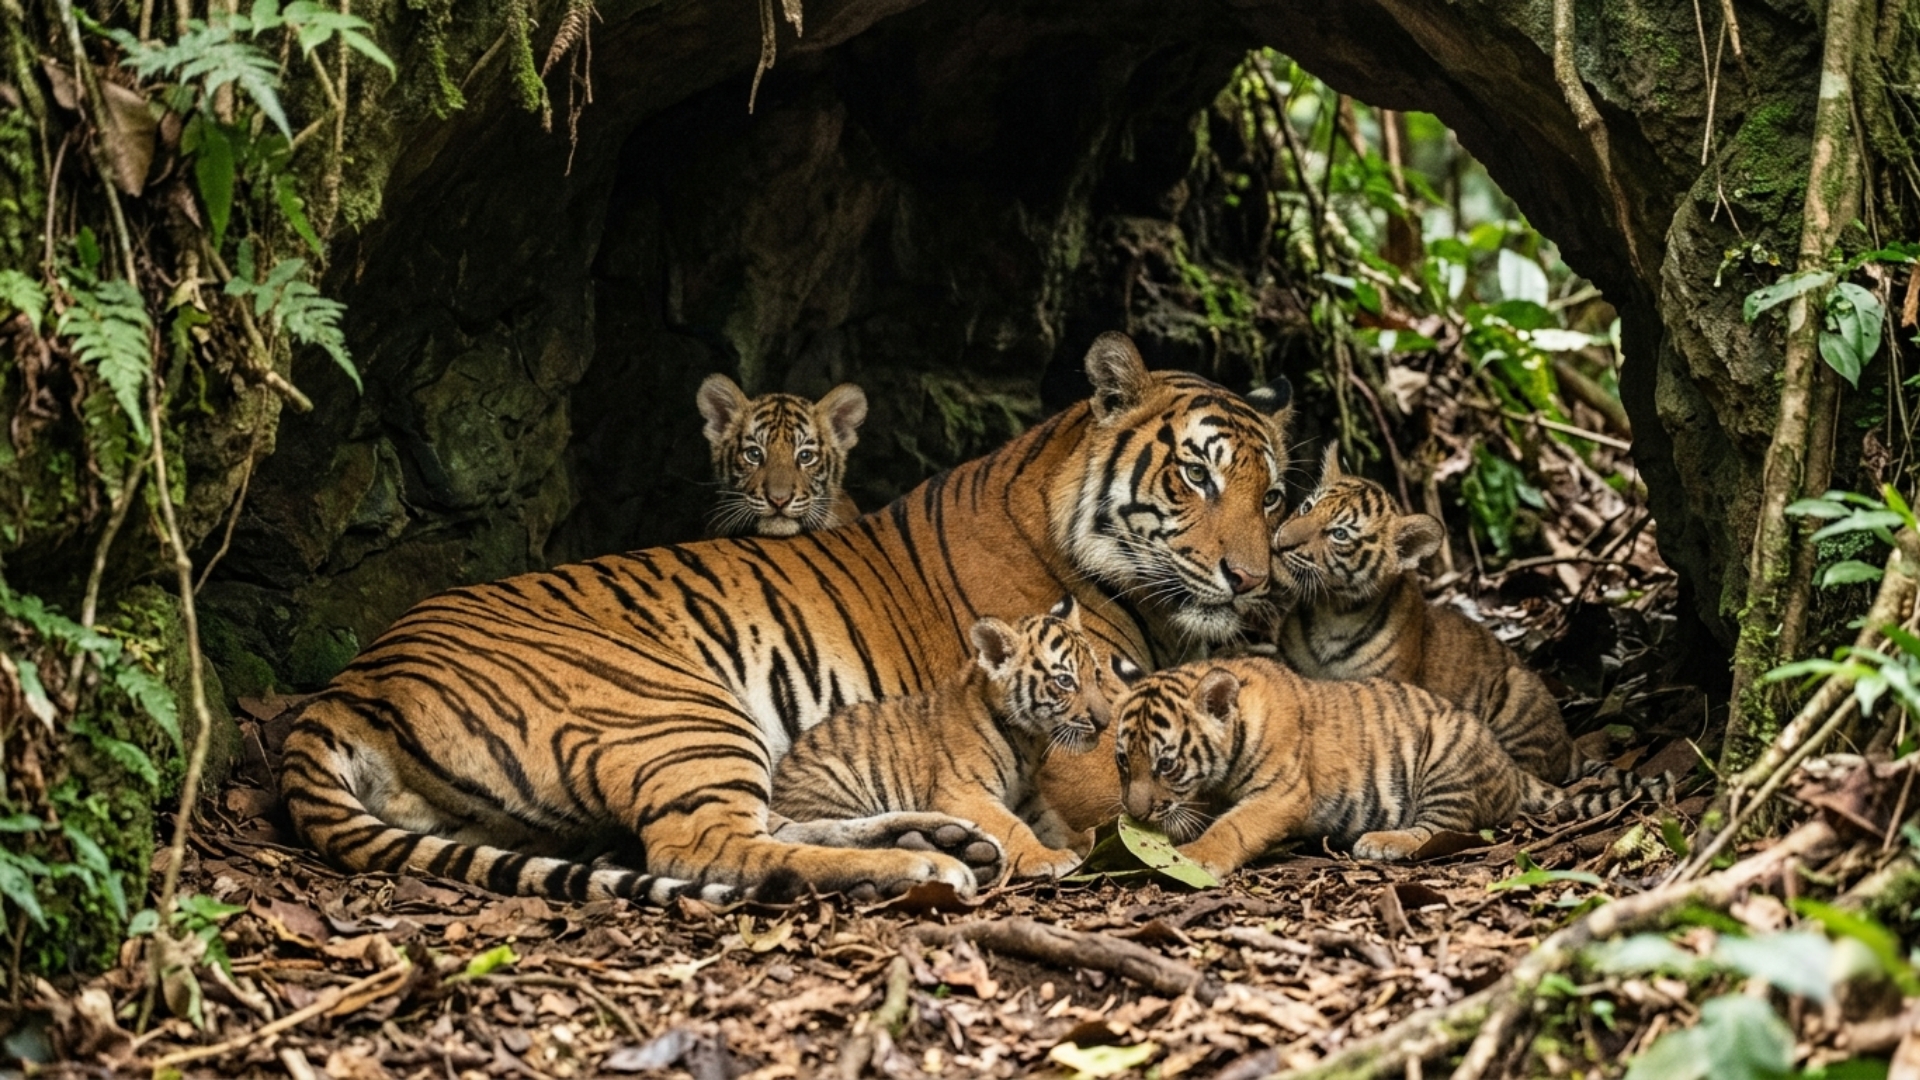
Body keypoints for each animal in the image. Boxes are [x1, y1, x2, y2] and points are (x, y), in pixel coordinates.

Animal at [772, 596, 1143, 885]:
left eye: (1096, 675)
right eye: (1065, 681)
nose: (1104, 721)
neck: (1028, 740)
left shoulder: (1028, 795)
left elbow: (1051, 821)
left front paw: (1082, 841)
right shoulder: (965, 793)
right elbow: (1012, 828)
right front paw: (1048, 858)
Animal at [1112, 658, 1669, 876]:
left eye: (1166, 764)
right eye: (1123, 762)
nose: (1135, 815)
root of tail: (1511, 769)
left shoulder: (1281, 794)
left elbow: (1236, 825)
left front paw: (1195, 856)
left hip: (1444, 755)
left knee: (1444, 828)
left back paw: (1383, 842)